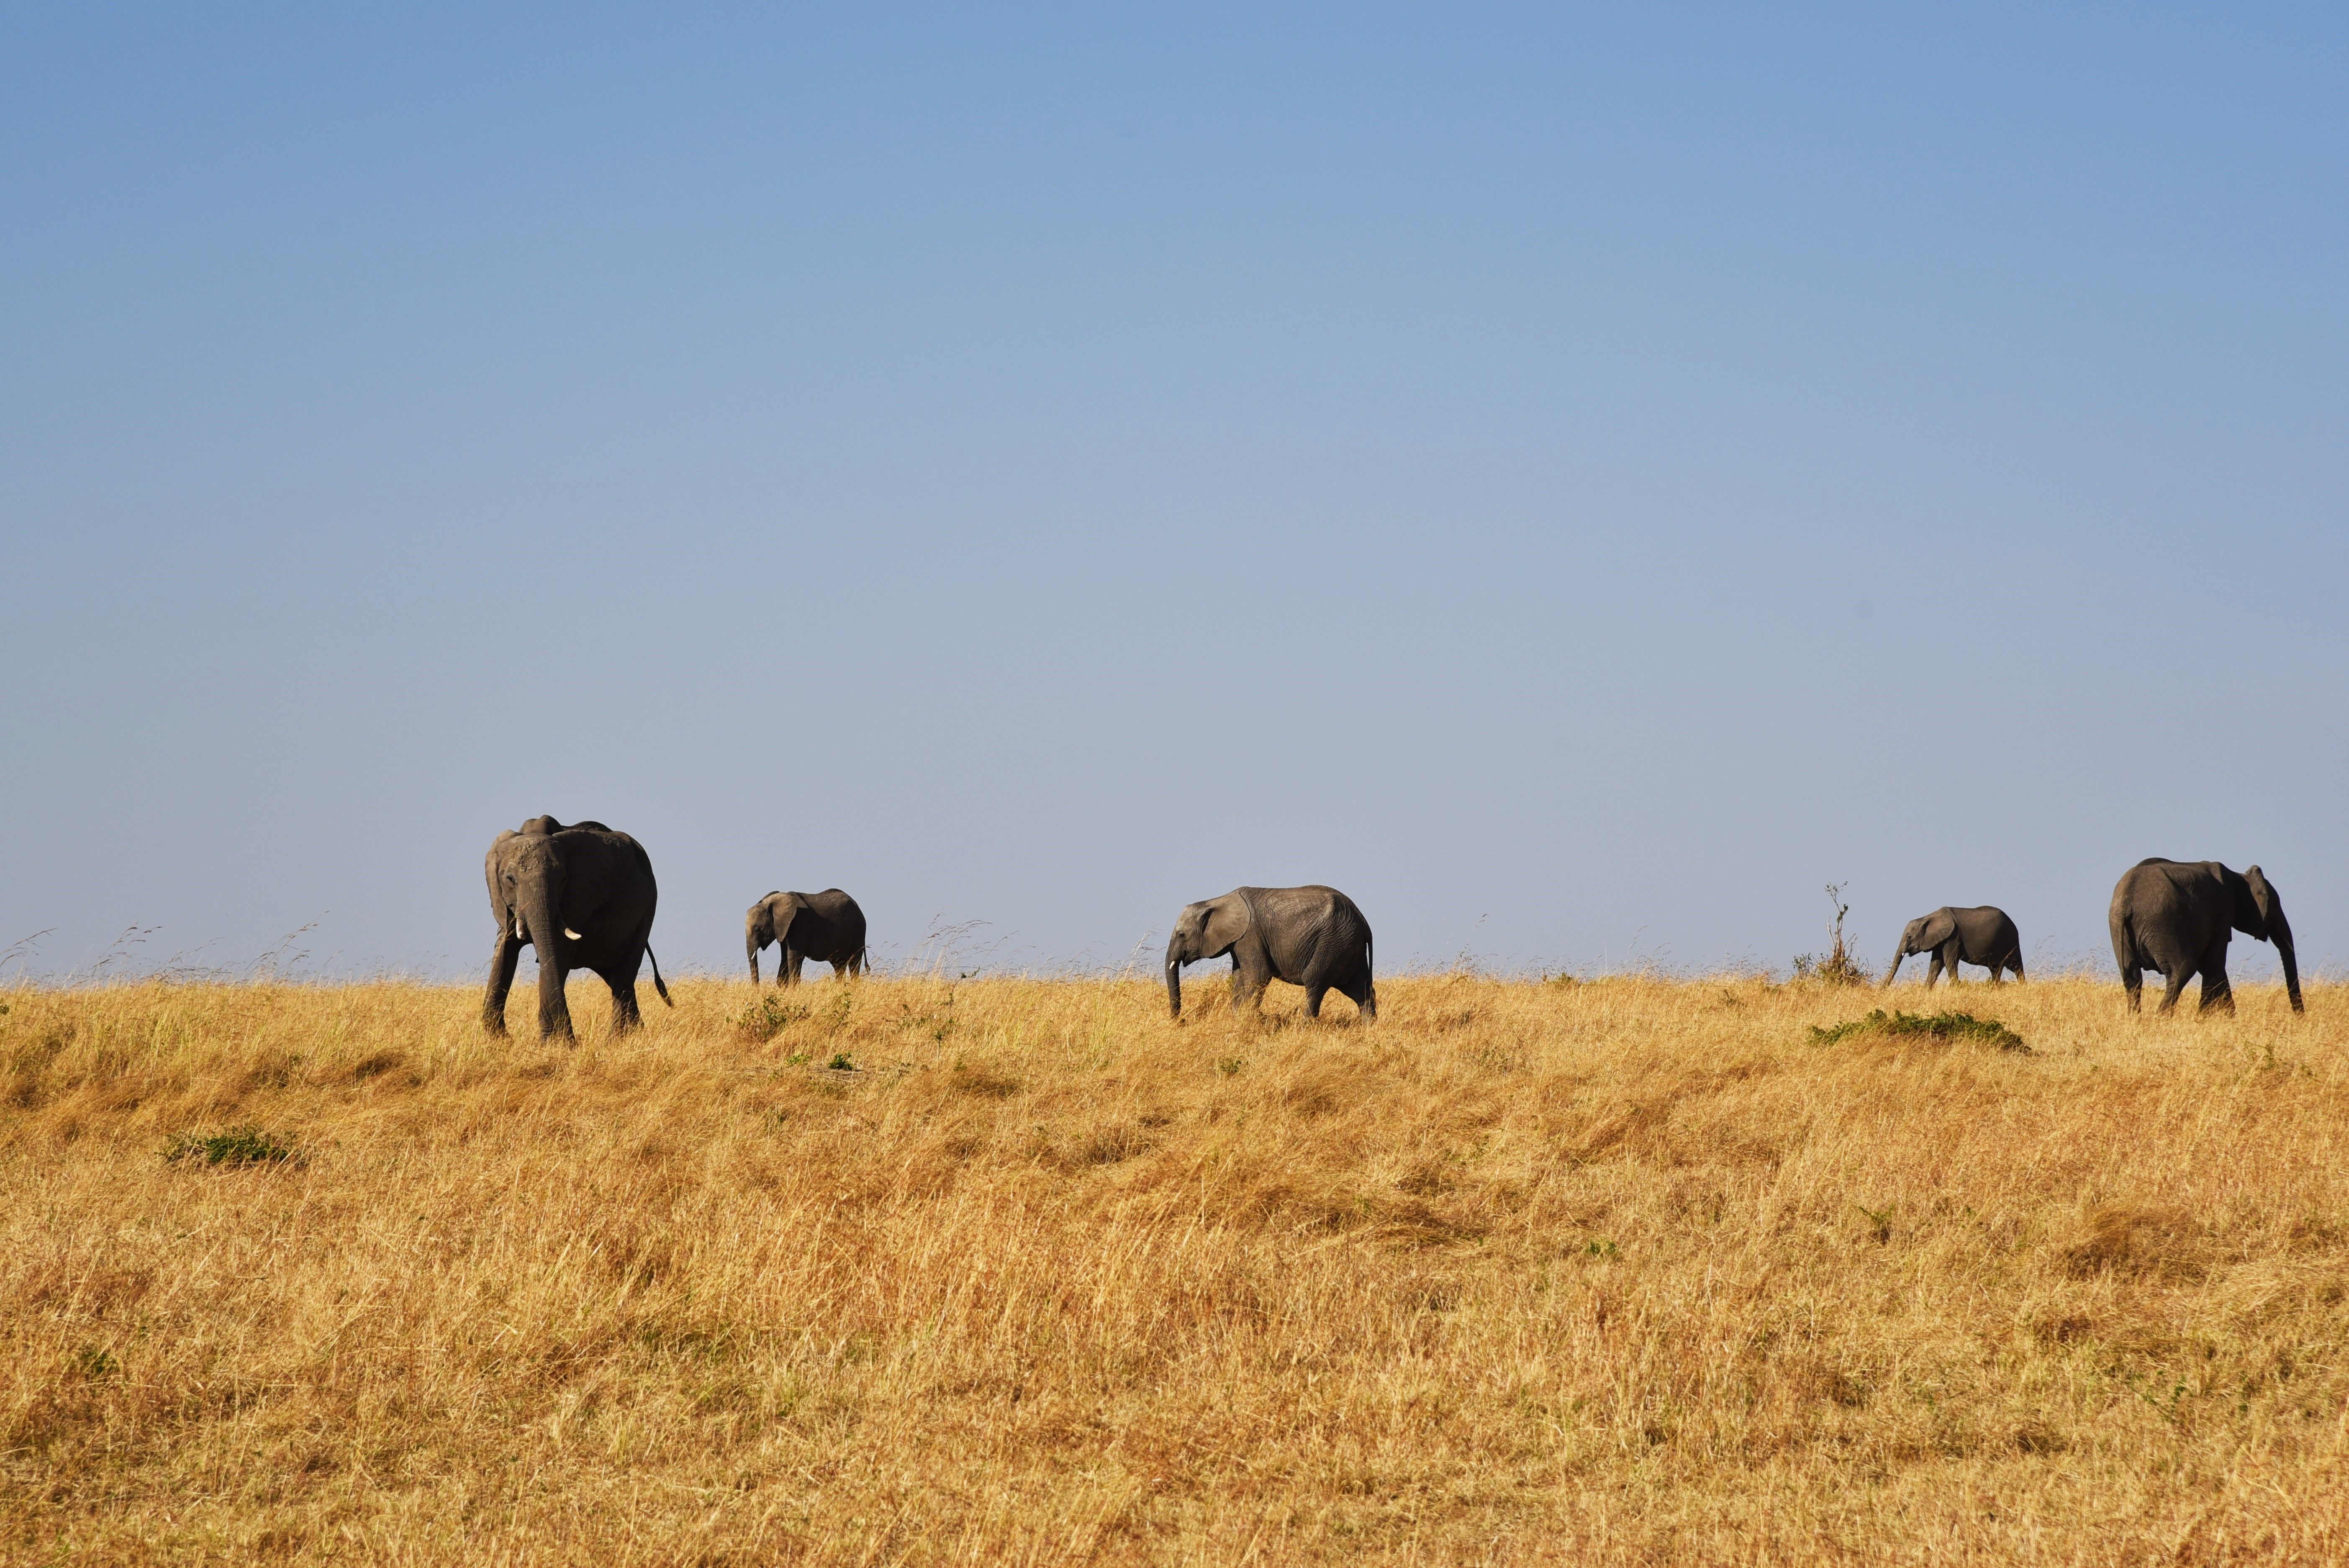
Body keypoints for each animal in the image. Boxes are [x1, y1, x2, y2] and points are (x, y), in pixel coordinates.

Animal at [483, 815, 671, 1041]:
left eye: (563, 879)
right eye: (510, 879)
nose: (574, 1040)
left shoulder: (574, 901)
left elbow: (558, 953)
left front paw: (555, 1043)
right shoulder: (505, 905)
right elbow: (504, 951)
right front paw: (501, 1040)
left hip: (648, 908)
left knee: (624, 977)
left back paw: (617, 1039)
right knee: (615, 977)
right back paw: (635, 1033)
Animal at [746, 889, 868, 984]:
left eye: (757, 929)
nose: (757, 988)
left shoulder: (799, 925)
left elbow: (794, 957)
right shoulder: (784, 930)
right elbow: (785, 957)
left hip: (859, 931)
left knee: (854, 964)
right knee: (839, 966)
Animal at [1165, 885, 1375, 1021]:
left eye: (1182, 935)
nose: (1181, 1020)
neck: (1218, 901)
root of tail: (1364, 923)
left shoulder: (1250, 935)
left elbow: (1259, 976)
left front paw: (1249, 1020)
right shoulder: (1239, 942)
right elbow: (1238, 978)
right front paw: (1237, 1018)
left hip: (1333, 942)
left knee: (1315, 981)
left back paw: (1304, 1026)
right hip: (1348, 946)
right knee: (1360, 990)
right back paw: (1369, 1027)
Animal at [1881, 906, 2024, 987]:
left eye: (1909, 937)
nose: (1883, 987)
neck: (1927, 918)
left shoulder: (1952, 937)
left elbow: (1949, 961)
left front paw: (1955, 987)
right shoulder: (1940, 940)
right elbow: (1936, 964)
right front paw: (1927, 990)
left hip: (2010, 940)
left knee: (2016, 966)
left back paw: (2023, 986)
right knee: (1996, 969)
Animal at [2110, 859, 2302, 1016]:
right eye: (2275, 905)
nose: (2299, 1017)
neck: (2238, 877)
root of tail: (2126, 901)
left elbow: (2214, 968)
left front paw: (2225, 1017)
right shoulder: (2223, 912)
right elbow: (2213, 965)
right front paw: (2205, 1018)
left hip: (2121, 927)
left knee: (2132, 977)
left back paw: (2136, 1020)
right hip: (2162, 922)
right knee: (2182, 970)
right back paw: (2161, 1018)